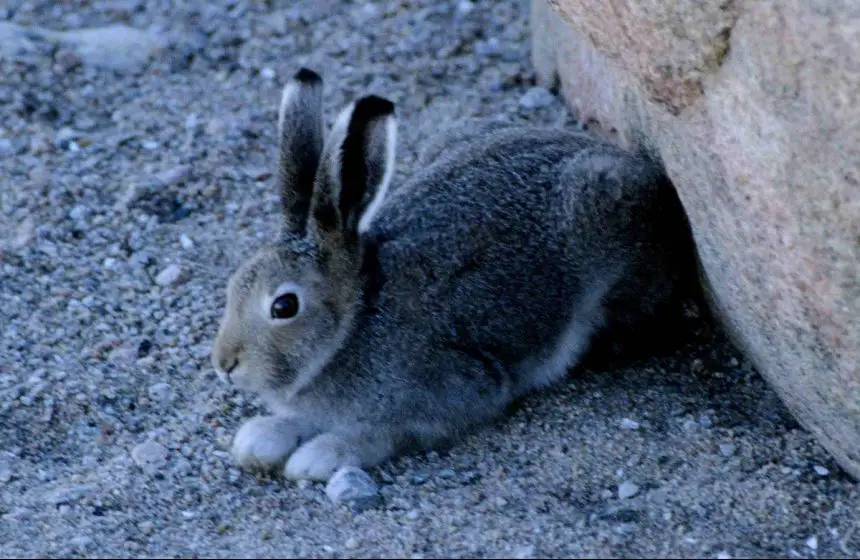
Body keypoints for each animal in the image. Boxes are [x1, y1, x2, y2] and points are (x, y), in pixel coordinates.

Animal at [210, 68, 699, 482]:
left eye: (283, 306)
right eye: (232, 287)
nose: (225, 364)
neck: (353, 326)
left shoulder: (451, 396)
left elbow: (384, 434)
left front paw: (321, 455)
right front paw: (261, 437)